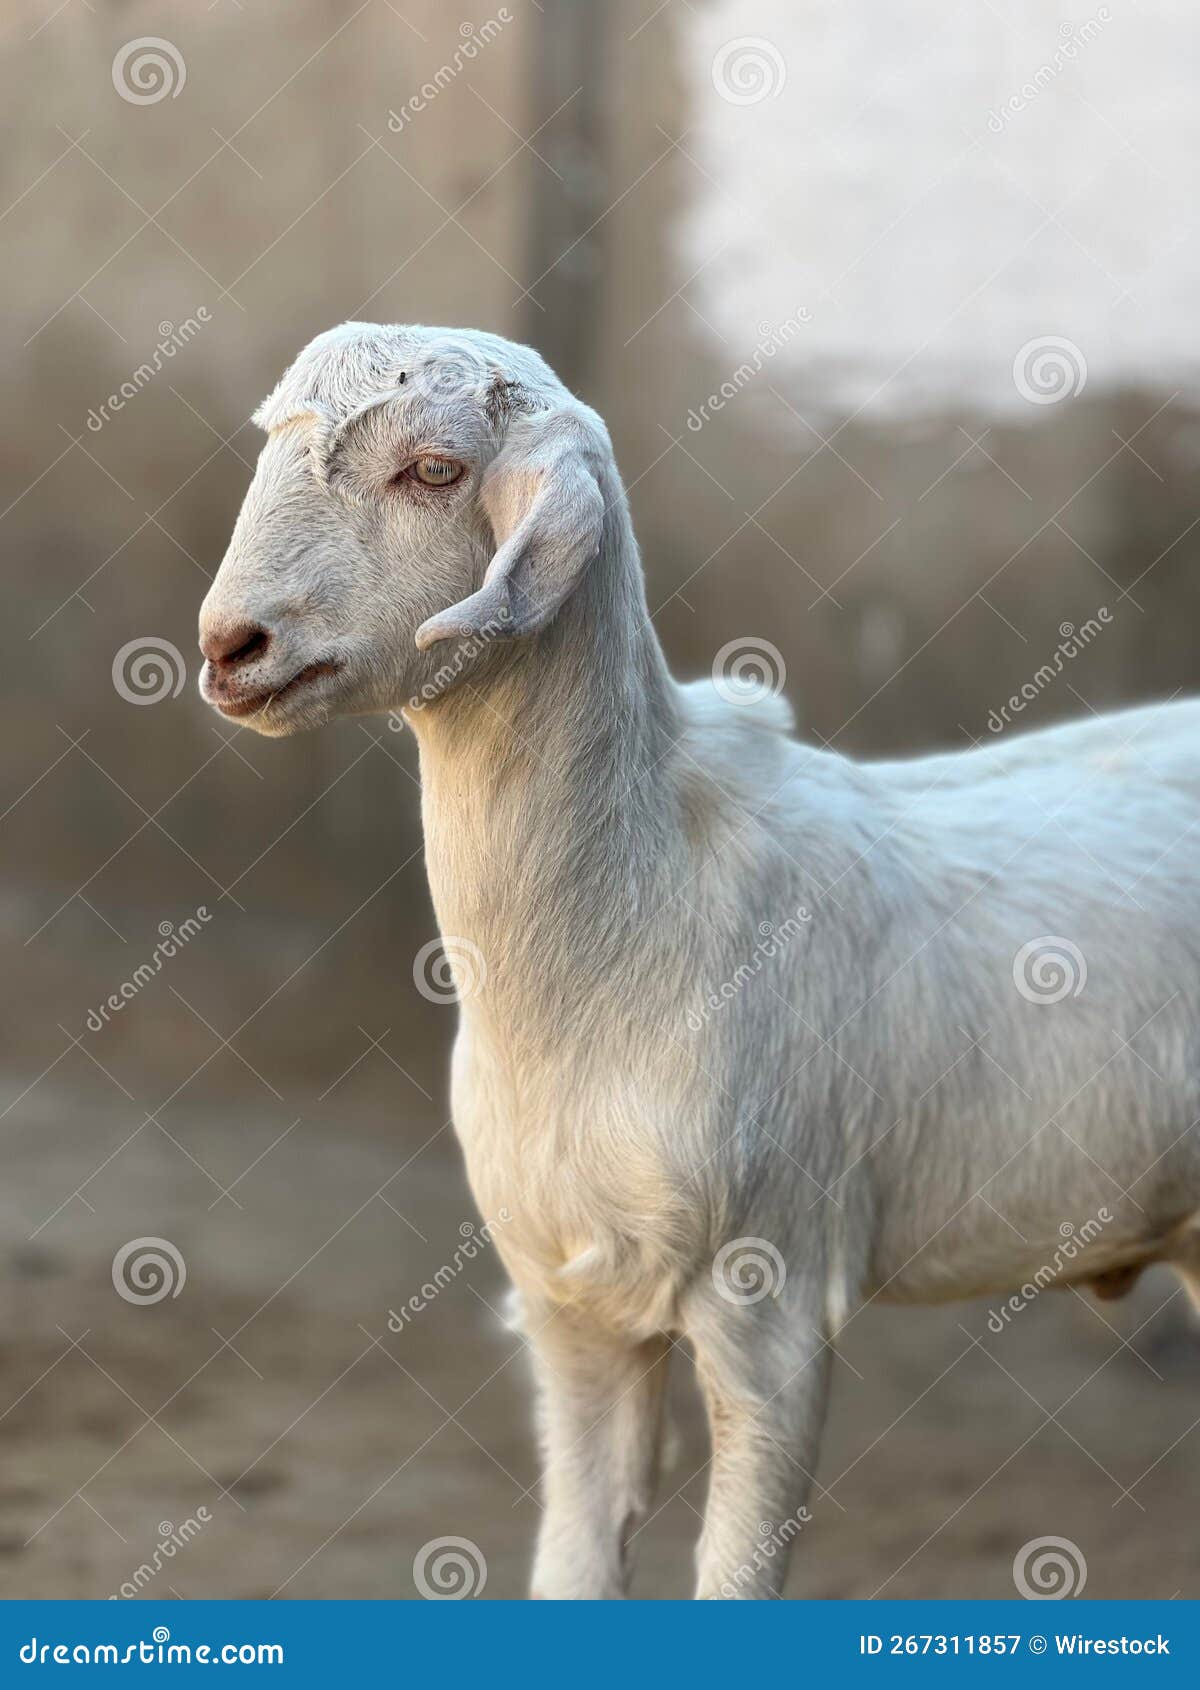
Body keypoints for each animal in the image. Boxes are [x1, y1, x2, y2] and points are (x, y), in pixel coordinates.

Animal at [198, 322, 1200, 1599]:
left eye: (434, 470)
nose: (230, 646)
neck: (637, 918)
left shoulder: (770, 1299)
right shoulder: (565, 1303)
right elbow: (574, 1562)